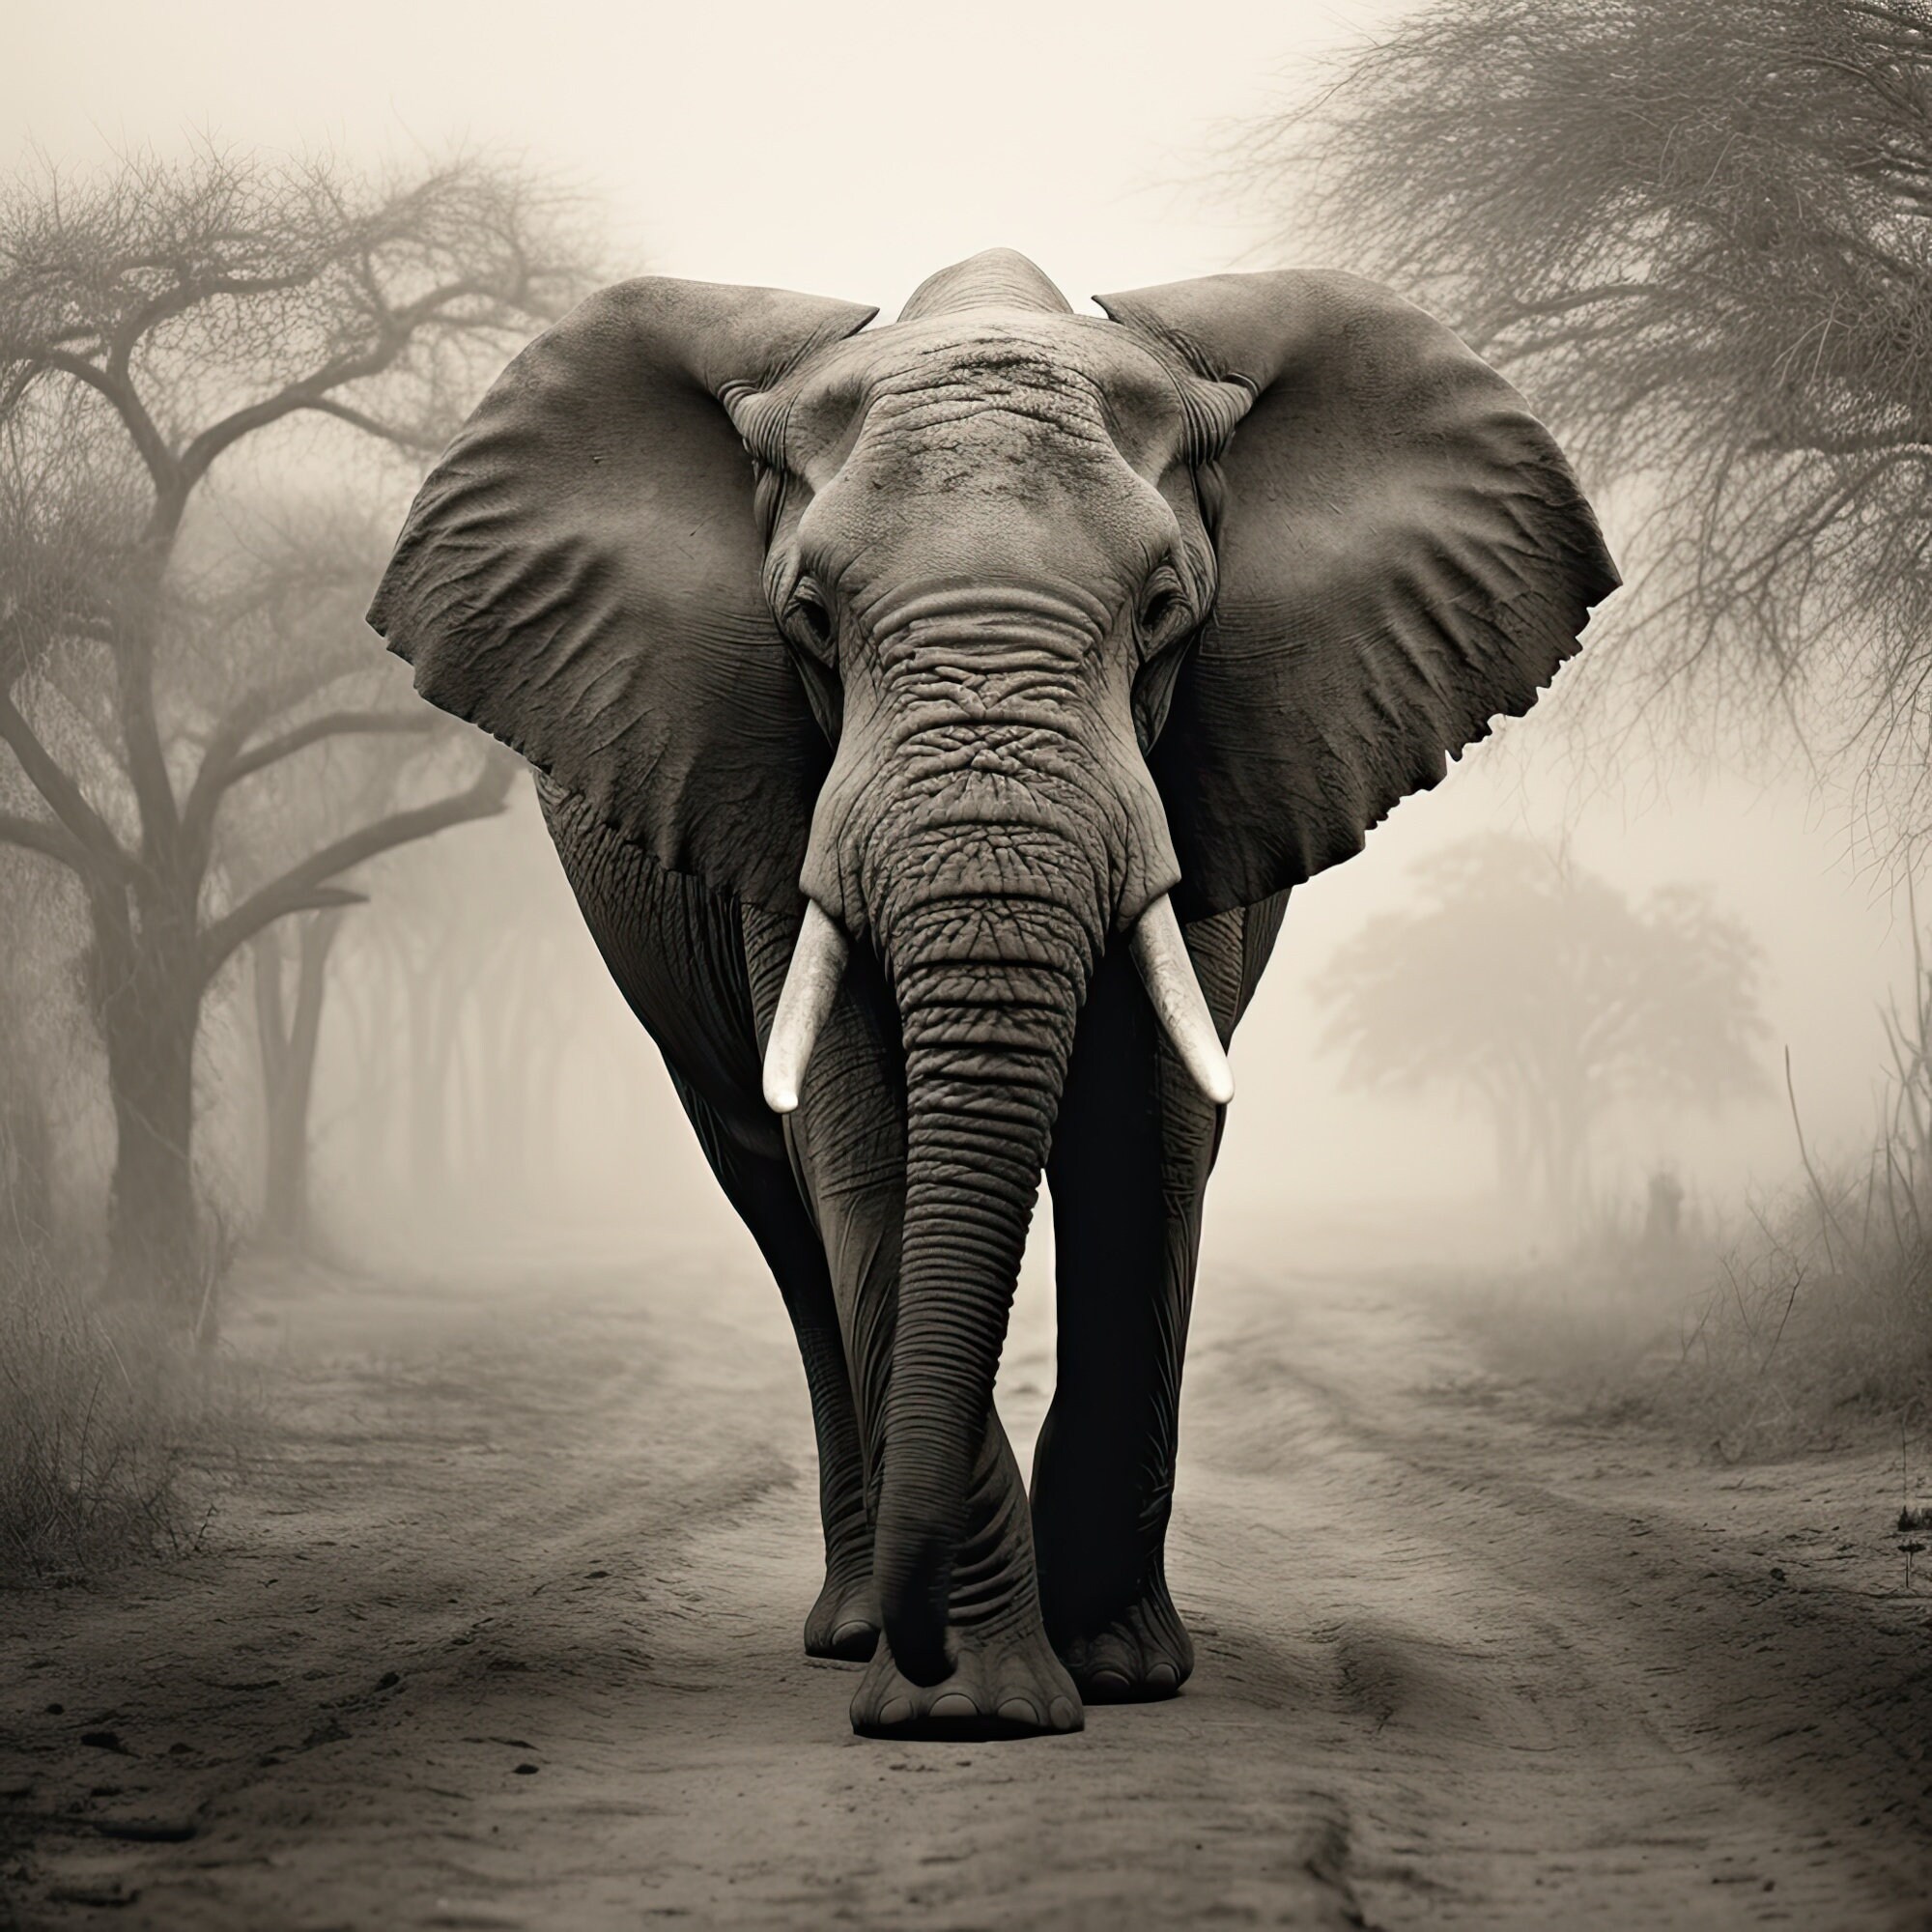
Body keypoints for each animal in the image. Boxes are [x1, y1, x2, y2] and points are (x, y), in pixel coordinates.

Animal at [367, 248, 1616, 1741]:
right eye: (808, 618)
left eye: (1165, 611)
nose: (928, 1652)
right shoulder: (775, 796)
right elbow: (862, 1145)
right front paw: (970, 1707)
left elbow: (1148, 1135)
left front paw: (1116, 1673)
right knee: (778, 1209)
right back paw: (855, 1630)